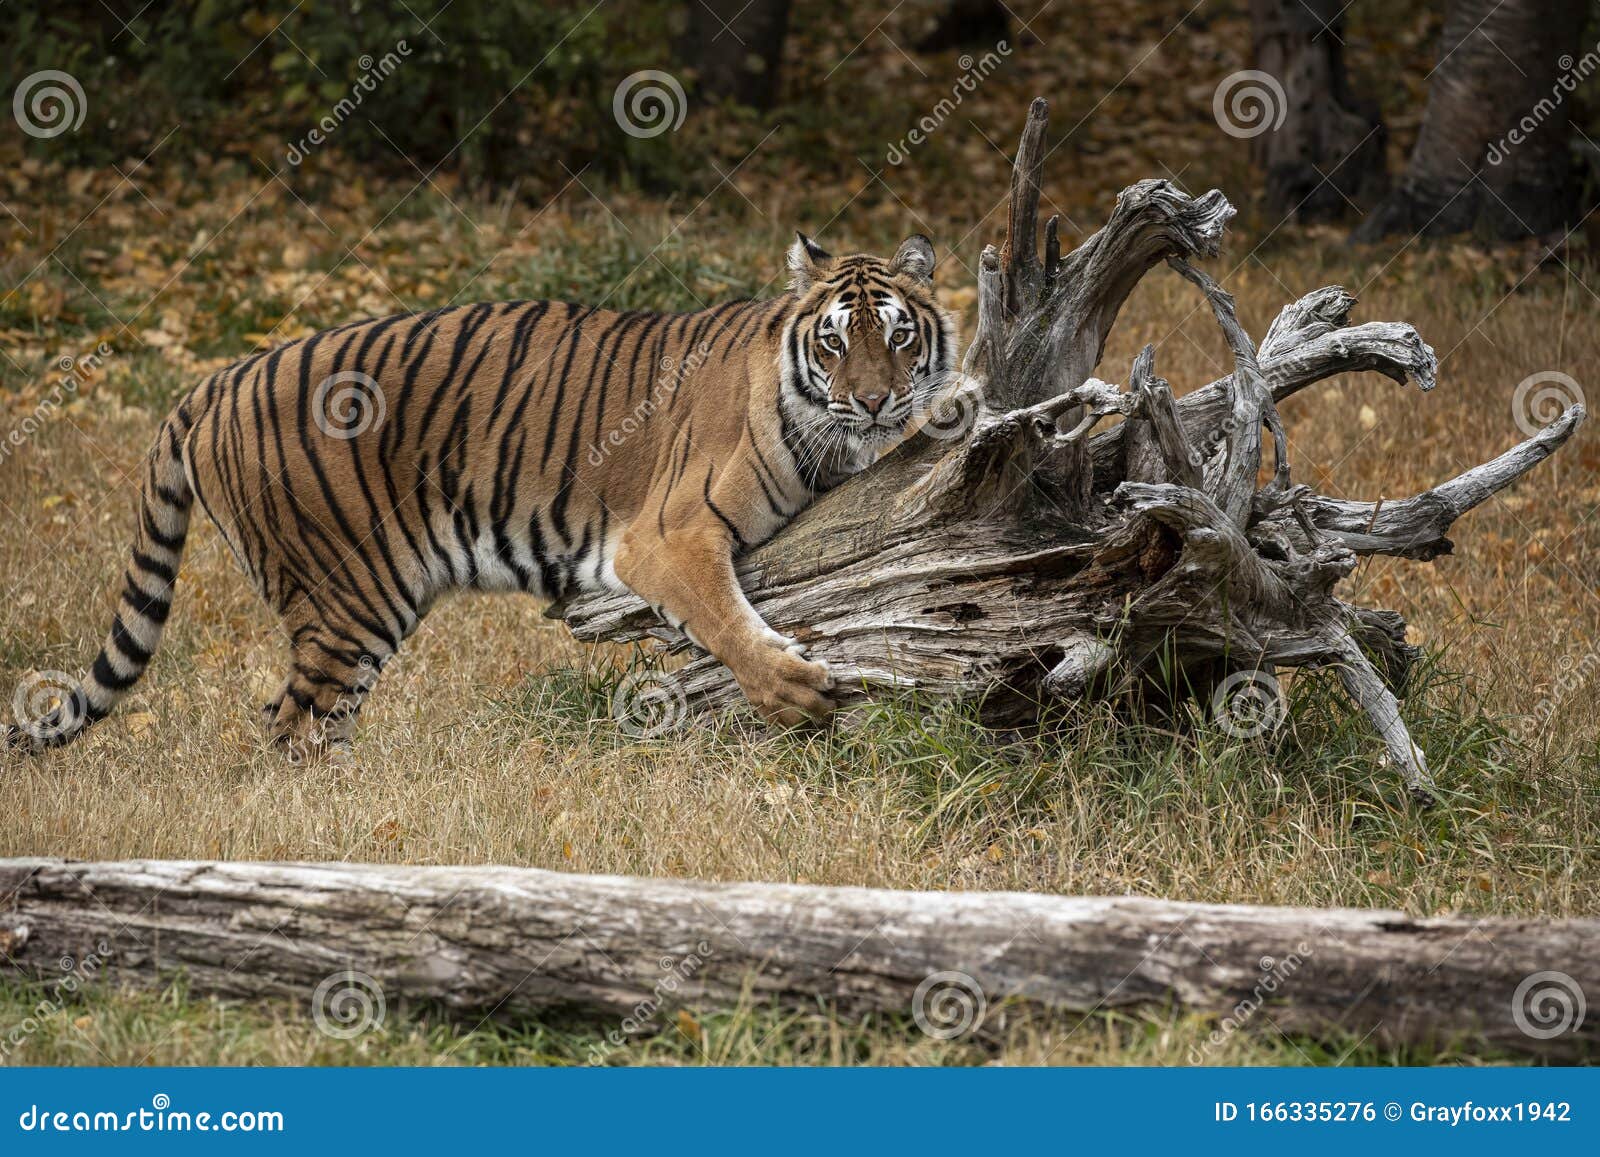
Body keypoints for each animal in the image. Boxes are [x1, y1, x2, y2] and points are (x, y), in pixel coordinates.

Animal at [6, 232, 956, 757]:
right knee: (294, 724)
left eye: (900, 337)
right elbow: (725, 621)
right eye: (834, 343)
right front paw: (795, 692)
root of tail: (219, 374)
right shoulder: (664, 537)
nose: (877, 400)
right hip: (350, 593)